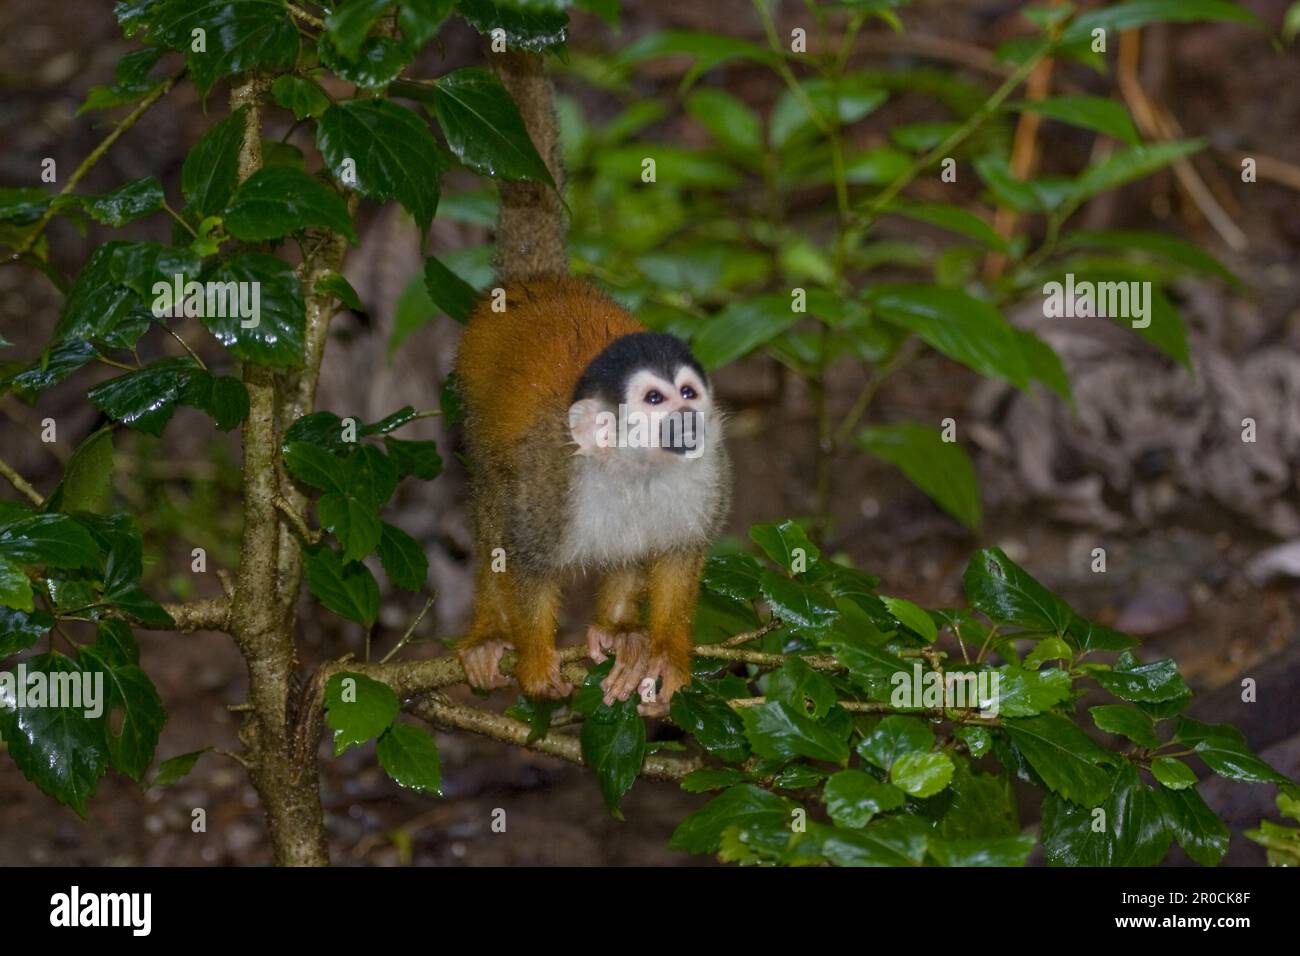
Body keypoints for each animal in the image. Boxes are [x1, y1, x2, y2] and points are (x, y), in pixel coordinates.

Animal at [452, 53, 730, 715]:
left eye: (689, 394)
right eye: (654, 400)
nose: (686, 419)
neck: (636, 467)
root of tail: (538, 284)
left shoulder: (708, 473)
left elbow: (679, 555)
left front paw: (666, 654)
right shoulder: (552, 481)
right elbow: (525, 556)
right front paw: (533, 660)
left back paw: (619, 631)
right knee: (493, 500)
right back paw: (491, 632)